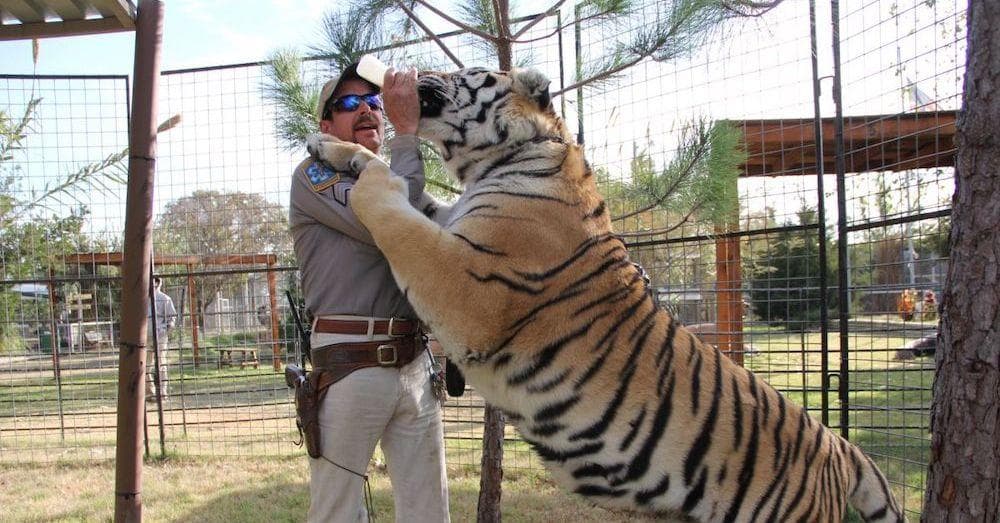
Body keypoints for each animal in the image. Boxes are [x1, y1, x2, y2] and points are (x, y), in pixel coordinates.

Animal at [305, 67, 906, 522]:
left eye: (463, 72)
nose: (404, 75)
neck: (501, 160)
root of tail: (840, 447)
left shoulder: (464, 281)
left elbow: (389, 201)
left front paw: (363, 170)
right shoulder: (450, 224)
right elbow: (399, 185)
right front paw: (329, 144)